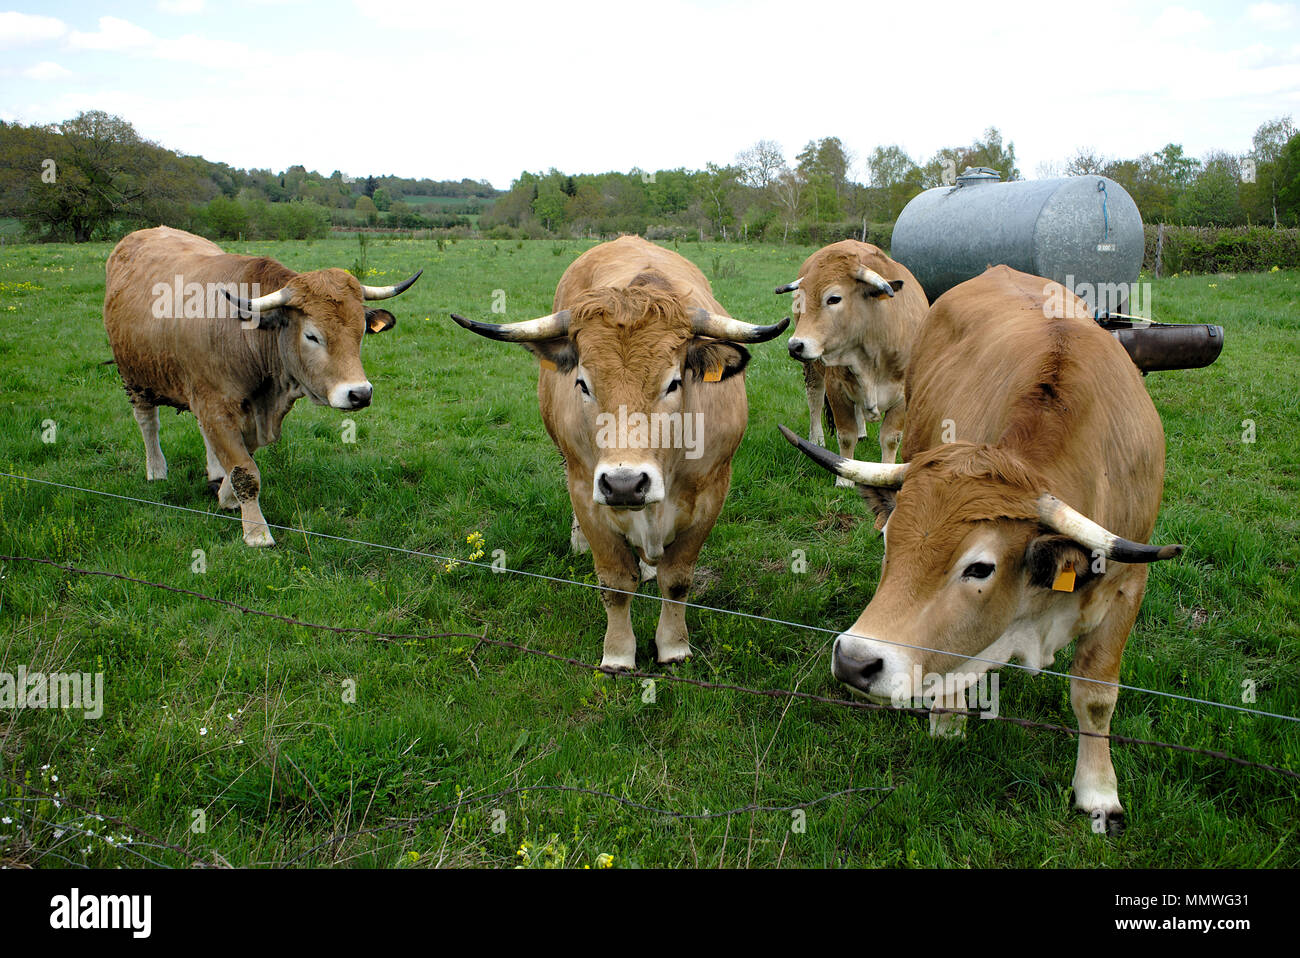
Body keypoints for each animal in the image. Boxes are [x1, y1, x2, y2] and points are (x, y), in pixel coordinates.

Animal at [102, 226, 420, 547]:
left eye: (360, 332)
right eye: (312, 336)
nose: (360, 394)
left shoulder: (244, 414)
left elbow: (241, 461)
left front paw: (226, 495)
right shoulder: (215, 406)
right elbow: (246, 471)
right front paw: (256, 531)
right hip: (135, 376)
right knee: (148, 422)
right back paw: (156, 469)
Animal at [451, 235, 787, 671]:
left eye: (674, 382)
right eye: (583, 383)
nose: (625, 483)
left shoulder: (713, 493)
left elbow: (677, 580)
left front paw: (674, 646)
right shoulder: (587, 493)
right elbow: (614, 583)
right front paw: (618, 653)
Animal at [775, 240, 928, 485]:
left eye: (834, 298)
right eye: (801, 300)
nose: (795, 345)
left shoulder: (903, 397)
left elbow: (891, 438)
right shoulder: (836, 388)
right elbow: (846, 435)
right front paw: (844, 482)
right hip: (812, 369)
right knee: (814, 400)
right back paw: (816, 438)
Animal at [780, 264, 1184, 834]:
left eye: (979, 568)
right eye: (890, 540)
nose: (855, 662)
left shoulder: (1127, 587)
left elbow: (1096, 696)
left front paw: (1099, 792)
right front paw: (948, 718)